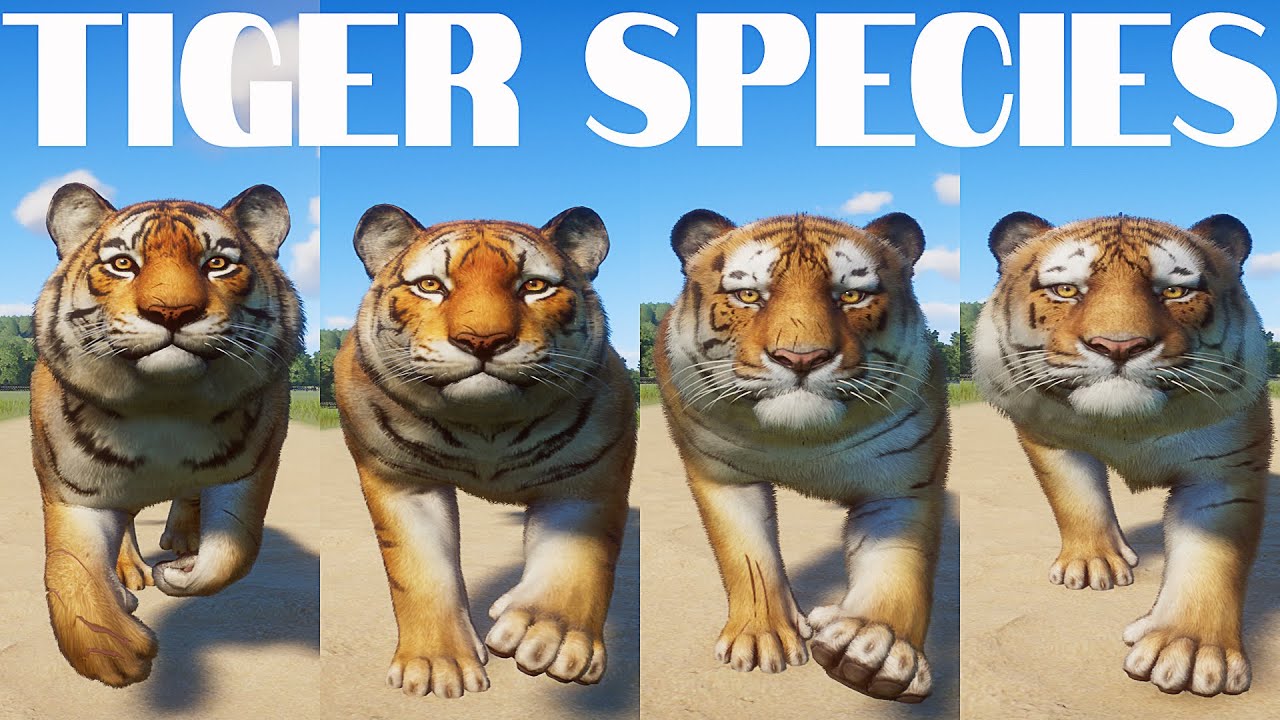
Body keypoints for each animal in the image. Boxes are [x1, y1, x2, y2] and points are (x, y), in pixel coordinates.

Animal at [32, 183, 302, 687]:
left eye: (217, 263)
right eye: (123, 264)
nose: (171, 311)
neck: (164, 406)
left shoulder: (250, 469)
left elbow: (235, 550)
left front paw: (180, 572)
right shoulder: (74, 491)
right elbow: (71, 569)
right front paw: (112, 647)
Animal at [334, 204, 636, 699]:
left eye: (533, 286)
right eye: (430, 285)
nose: (482, 340)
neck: (485, 427)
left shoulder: (588, 477)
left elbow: (579, 558)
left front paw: (551, 636)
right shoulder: (401, 480)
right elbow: (418, 571)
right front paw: (437, 666)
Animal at [655, 210, 950, 703]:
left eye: (850, 295)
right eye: (749, 295)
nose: (801, 357)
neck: (801, 444)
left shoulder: (902, 482)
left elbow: (899, 565)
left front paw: (875, 648)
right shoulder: (722, 476)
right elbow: (747, 556)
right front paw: (760, 639)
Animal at [972, 212, 1272, 696]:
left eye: (1174, 291)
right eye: (1066, 290)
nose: (1118, 345)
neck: (1128, 426)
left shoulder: (1227, 466)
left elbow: (1212, 555)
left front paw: (1188, 651)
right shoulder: (1048, 438)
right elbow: (1075, 499)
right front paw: (1093, 566)